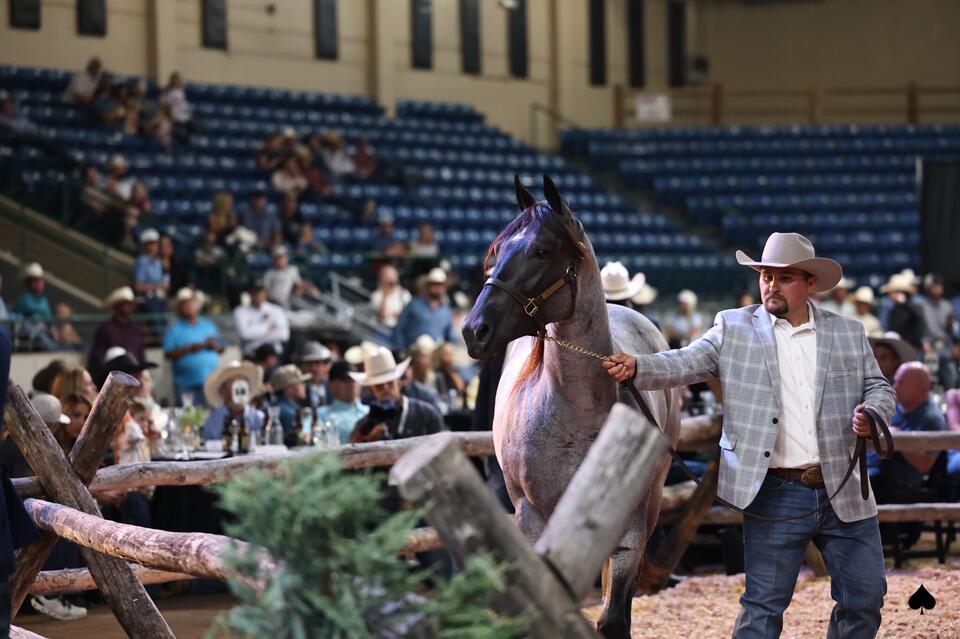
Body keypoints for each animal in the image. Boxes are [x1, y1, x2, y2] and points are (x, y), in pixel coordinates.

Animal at [462, 175, 682, 638]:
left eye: (542, 251)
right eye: (498, 249)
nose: (475, 330)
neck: (574, 413)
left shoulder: (631, 526)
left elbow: (614, 618)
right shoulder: (531, 520)